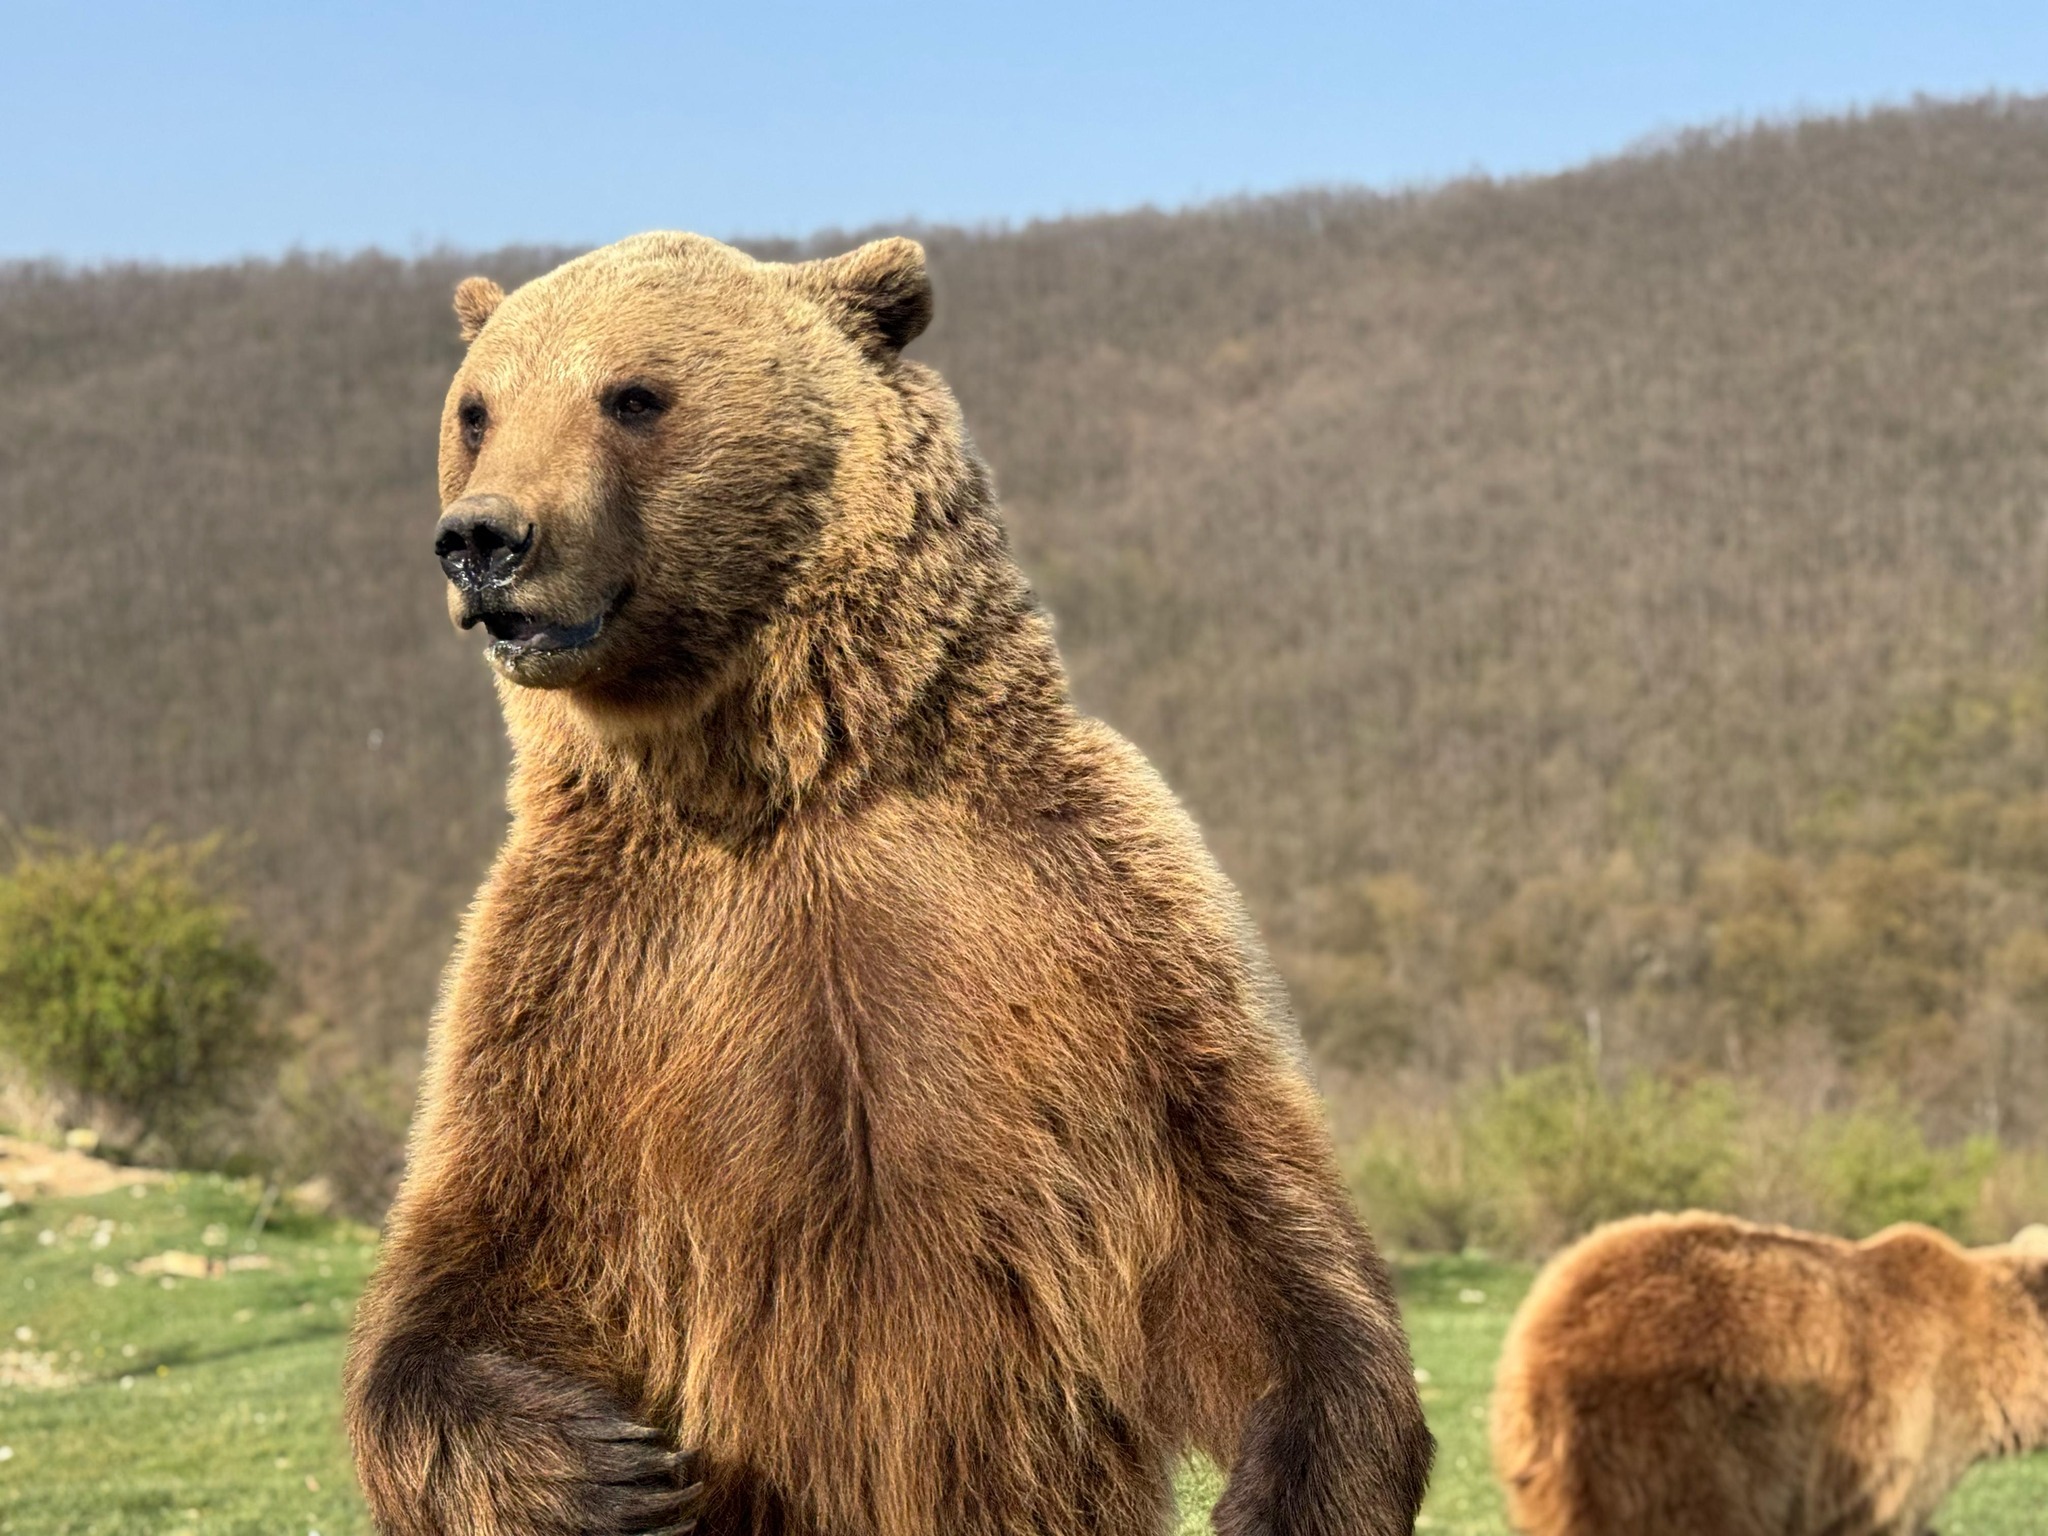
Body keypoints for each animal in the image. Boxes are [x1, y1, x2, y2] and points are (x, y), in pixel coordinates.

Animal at [342, 231, 1433, 1536]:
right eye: (477, 408)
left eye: (633, 395)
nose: (483, 539)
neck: (789, 784)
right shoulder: (579, 970)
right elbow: (481, 1246)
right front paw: (601, 1469)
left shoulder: (1080, 907)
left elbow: (1238, 1211)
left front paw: (1286, 1486)